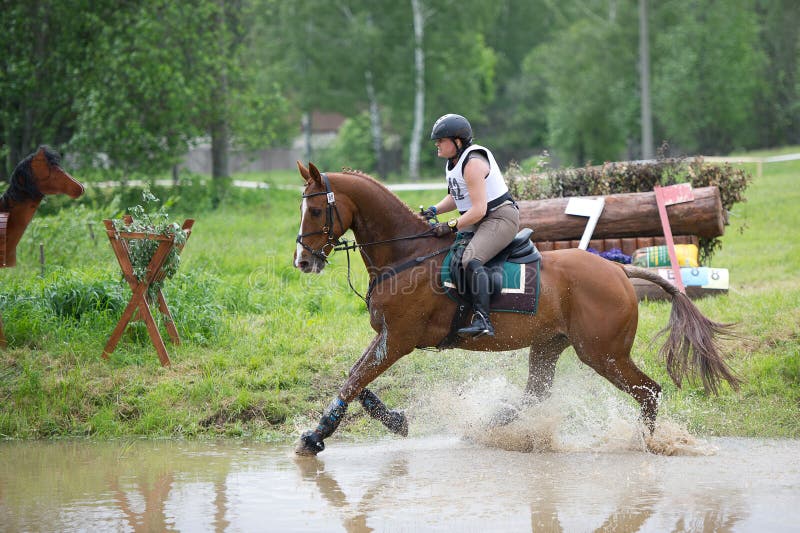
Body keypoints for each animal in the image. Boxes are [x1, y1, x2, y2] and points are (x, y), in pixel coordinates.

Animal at [292, 162, 739, 456]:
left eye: (314, 210)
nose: (302, 262)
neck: (406, 255)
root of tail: (619, 270)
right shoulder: (387, 337)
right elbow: (356, 378)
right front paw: (391, 418)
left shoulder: (399, 339)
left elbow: (353, 379)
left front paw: (315, 437)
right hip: (550, 345)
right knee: (535, 396)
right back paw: (490, 424)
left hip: (603, 354)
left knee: (649, 391)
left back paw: (643, 443)